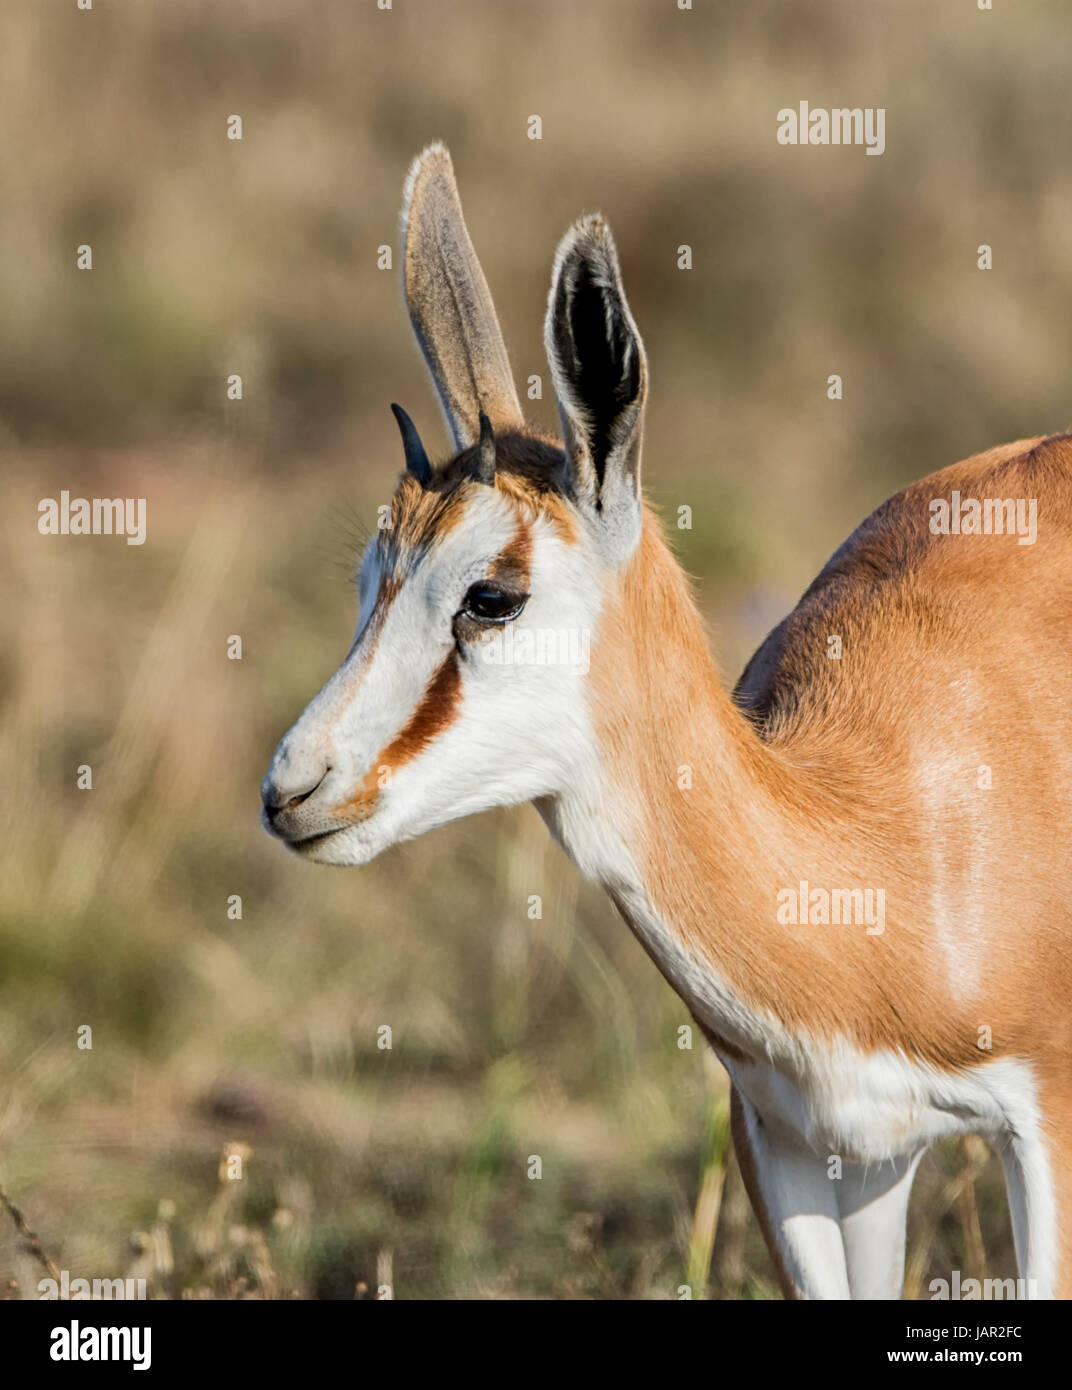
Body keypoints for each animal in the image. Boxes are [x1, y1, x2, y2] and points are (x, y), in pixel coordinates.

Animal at [262, 143, 1072, 1300]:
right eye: (372, 580)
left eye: (492, 595)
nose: (293, 787)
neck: (890, 856)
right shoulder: (816, 1140)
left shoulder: (1043, 1121)